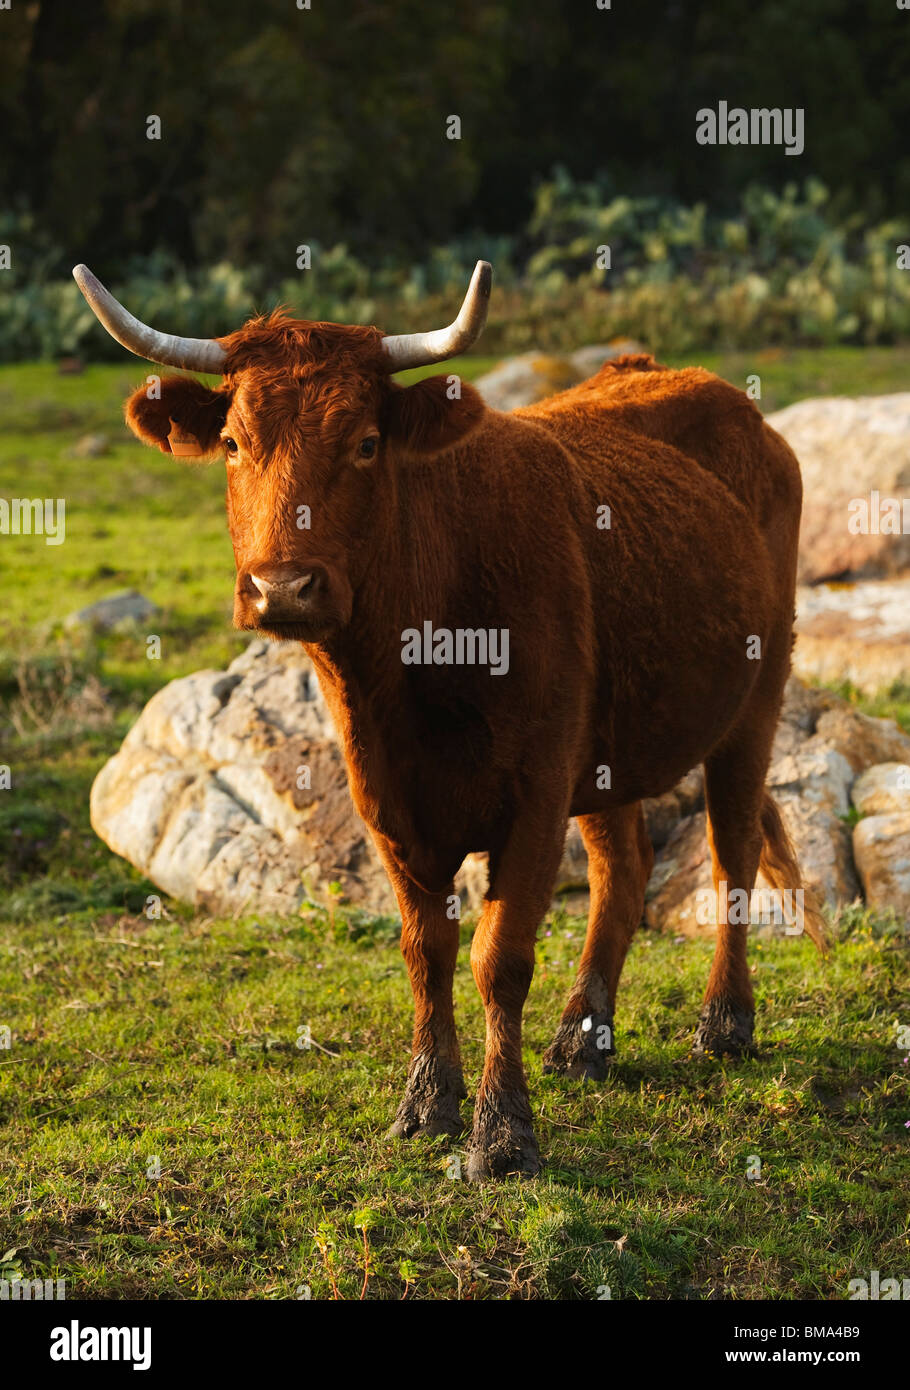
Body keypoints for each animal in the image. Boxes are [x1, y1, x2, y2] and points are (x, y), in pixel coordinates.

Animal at [73, 261, 826, 1180]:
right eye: (233, 444)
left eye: (366, 442)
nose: (283, 587)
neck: (410, 675)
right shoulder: (388, 801)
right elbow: (424, 947)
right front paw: (428, 1101)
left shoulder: (535, 793)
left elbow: (498, 957)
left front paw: (502, 1134)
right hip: (607, 745)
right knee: (625, 866)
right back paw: (583, 1037)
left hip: (757, 697)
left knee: (731, 850)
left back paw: (725, 1023)